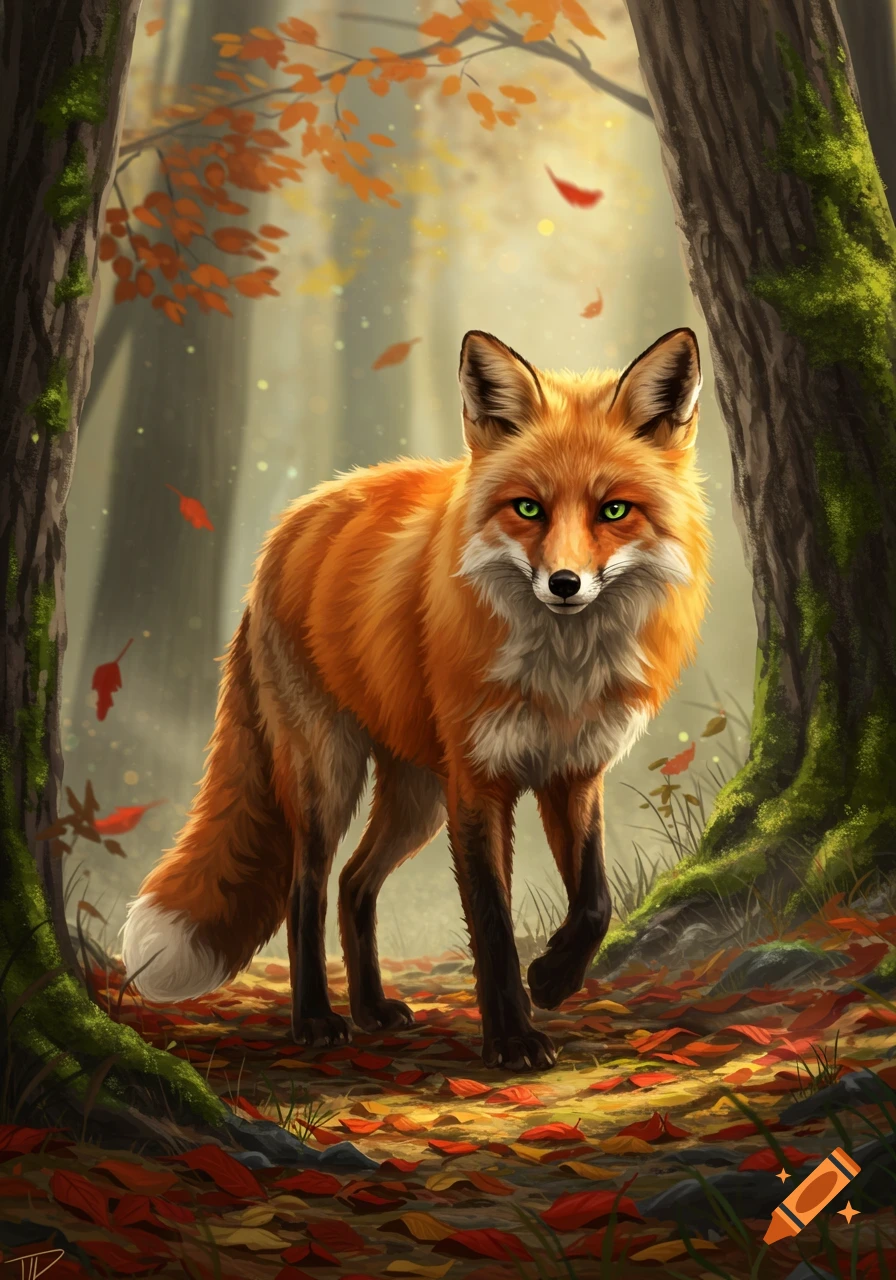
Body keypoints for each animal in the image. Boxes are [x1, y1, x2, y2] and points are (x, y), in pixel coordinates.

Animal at [121, 326, 709, 1072]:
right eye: (528, 508)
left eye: (614, 510)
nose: (565, 584)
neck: (562, 675)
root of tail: (288, 526)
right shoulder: (478, 782)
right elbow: (491, 921)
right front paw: (511, 1037)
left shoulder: (574, 771)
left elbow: (595, 900)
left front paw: (553, 978)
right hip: (332, 775)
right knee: (306, 890)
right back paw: (315, 1018)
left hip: (417, 796)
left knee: (354, 884)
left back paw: (371, 1008)